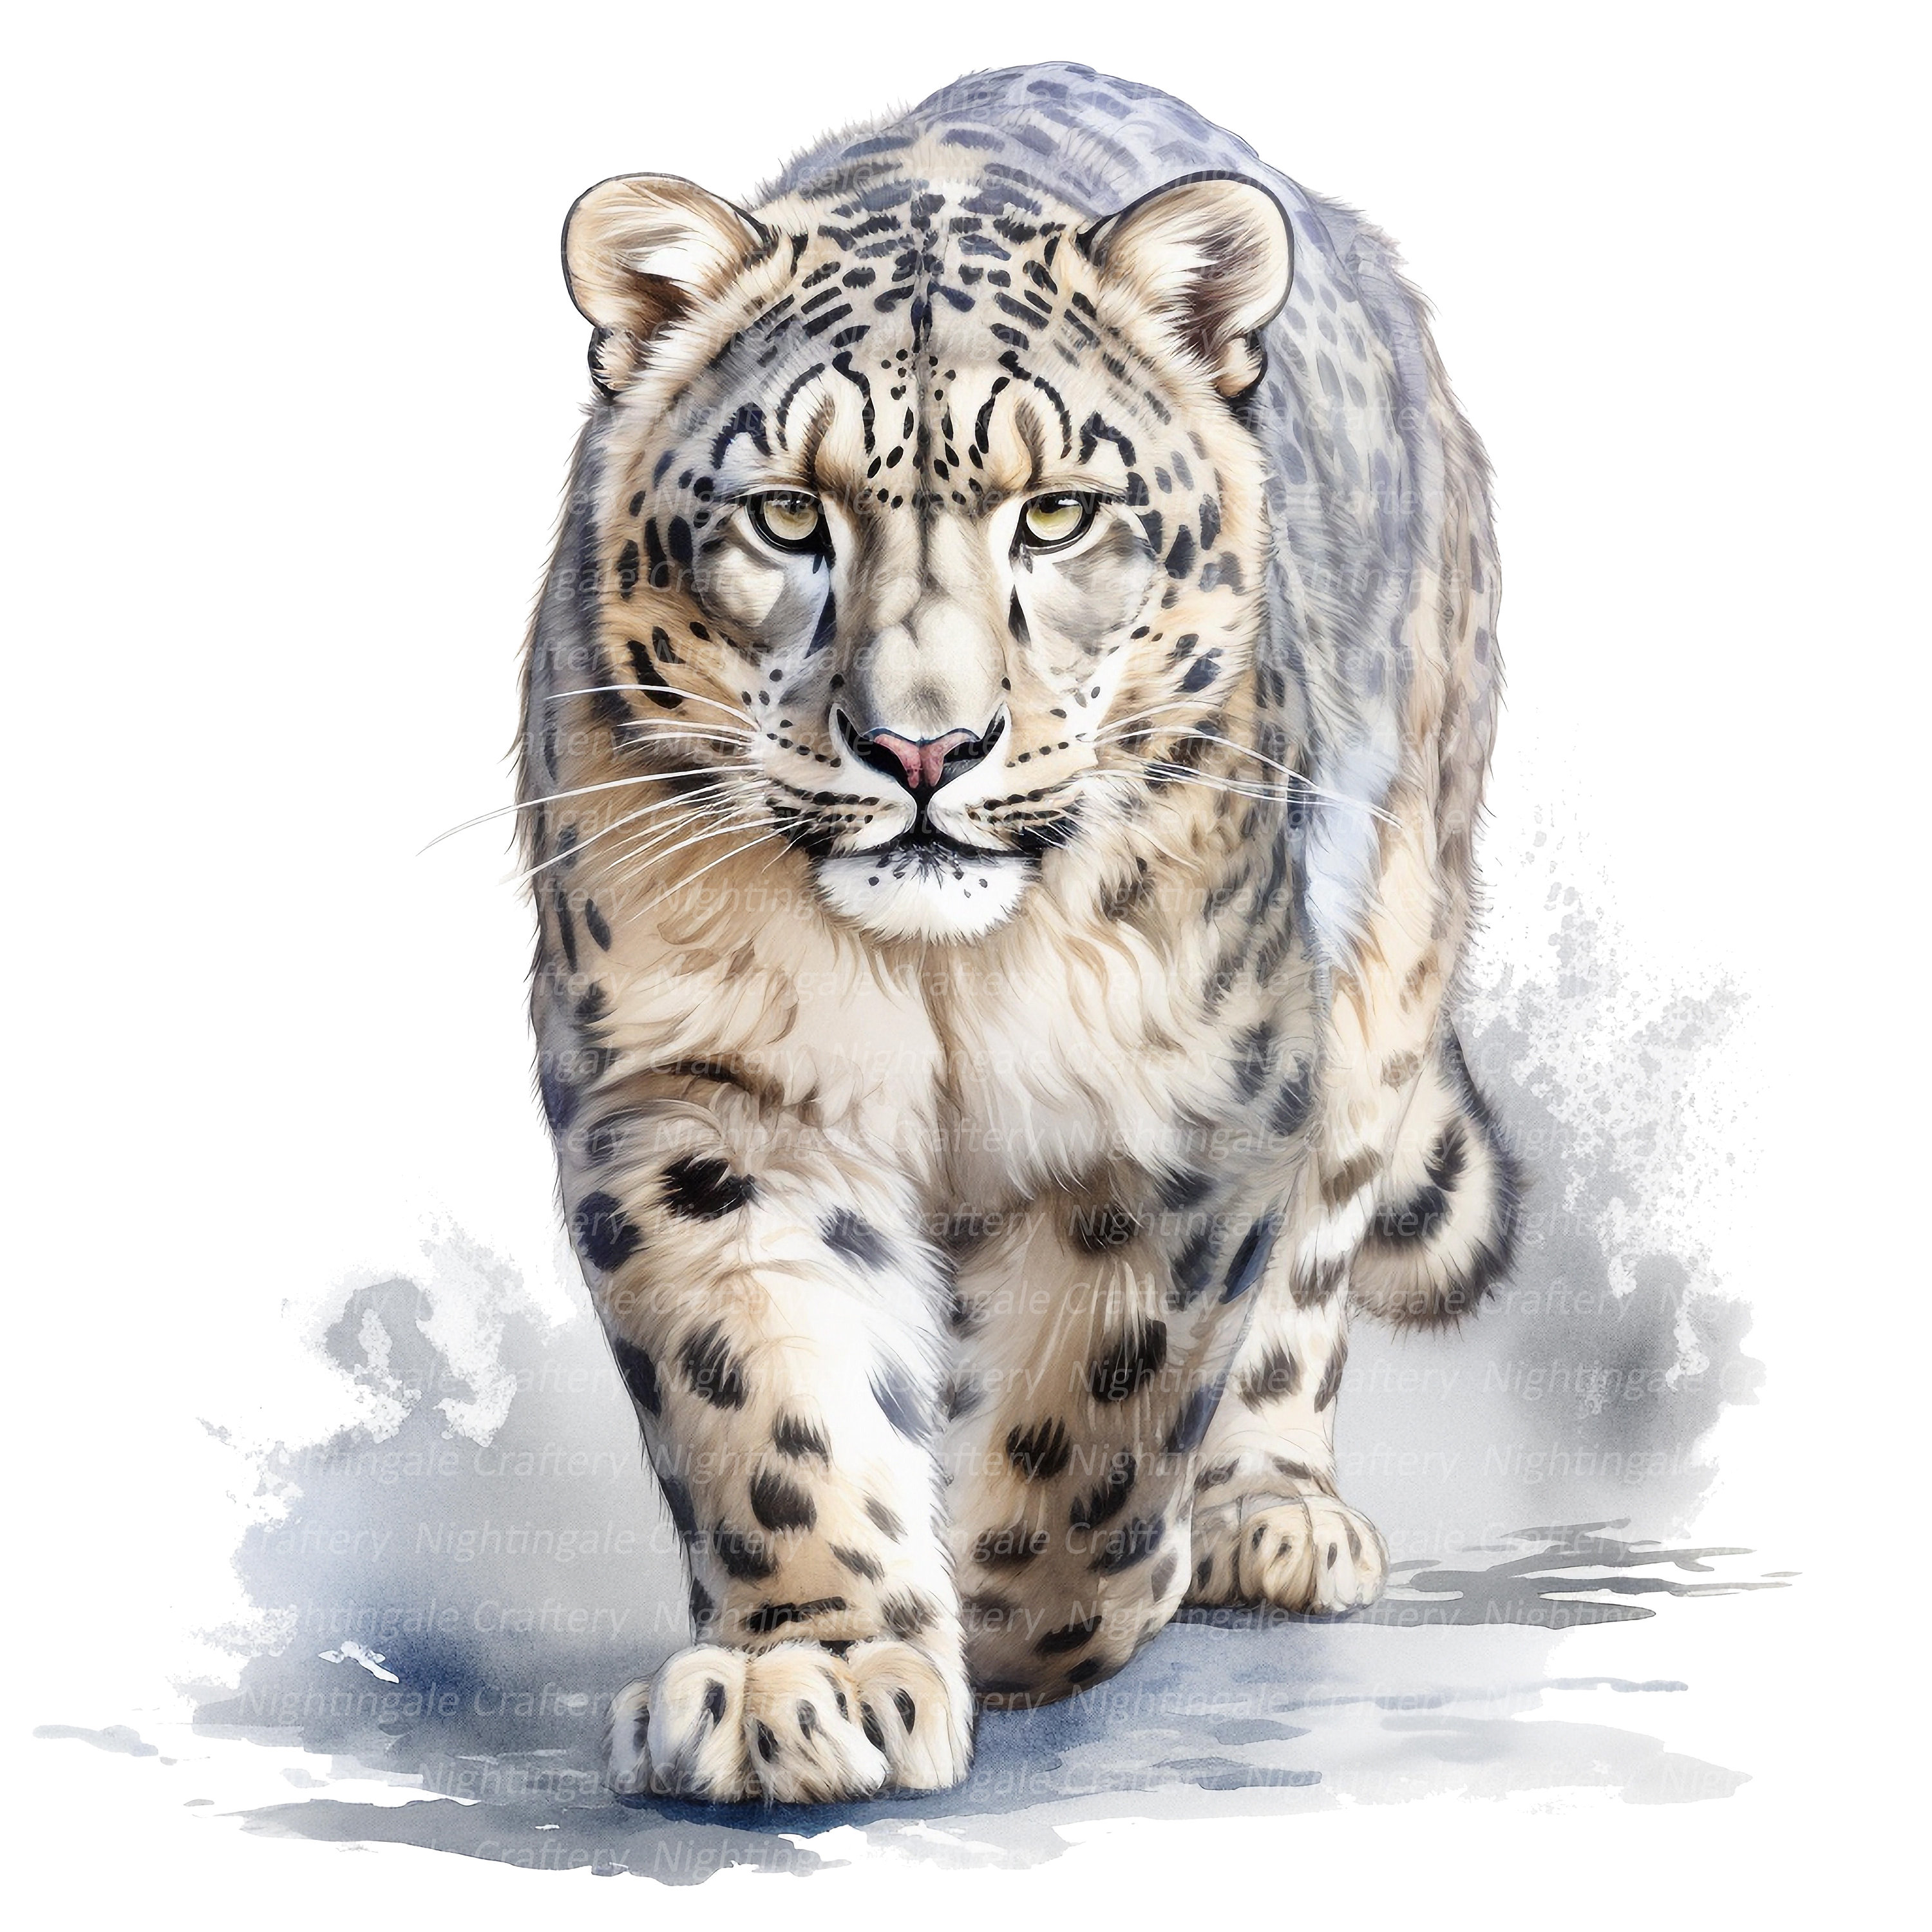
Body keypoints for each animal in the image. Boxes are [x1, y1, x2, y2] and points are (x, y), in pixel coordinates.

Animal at [516, 61, 1521, 1804]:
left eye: (1056, 512)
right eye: (786, 514)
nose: (922, 747)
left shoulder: (1183, 1092)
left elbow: (1098, 1418)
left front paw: (1031, 1607)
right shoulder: (701, 1087)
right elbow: (765, 1398)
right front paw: (810, 1677)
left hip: (1388, 936)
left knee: (1316, 1247)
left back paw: (1265, 1517)